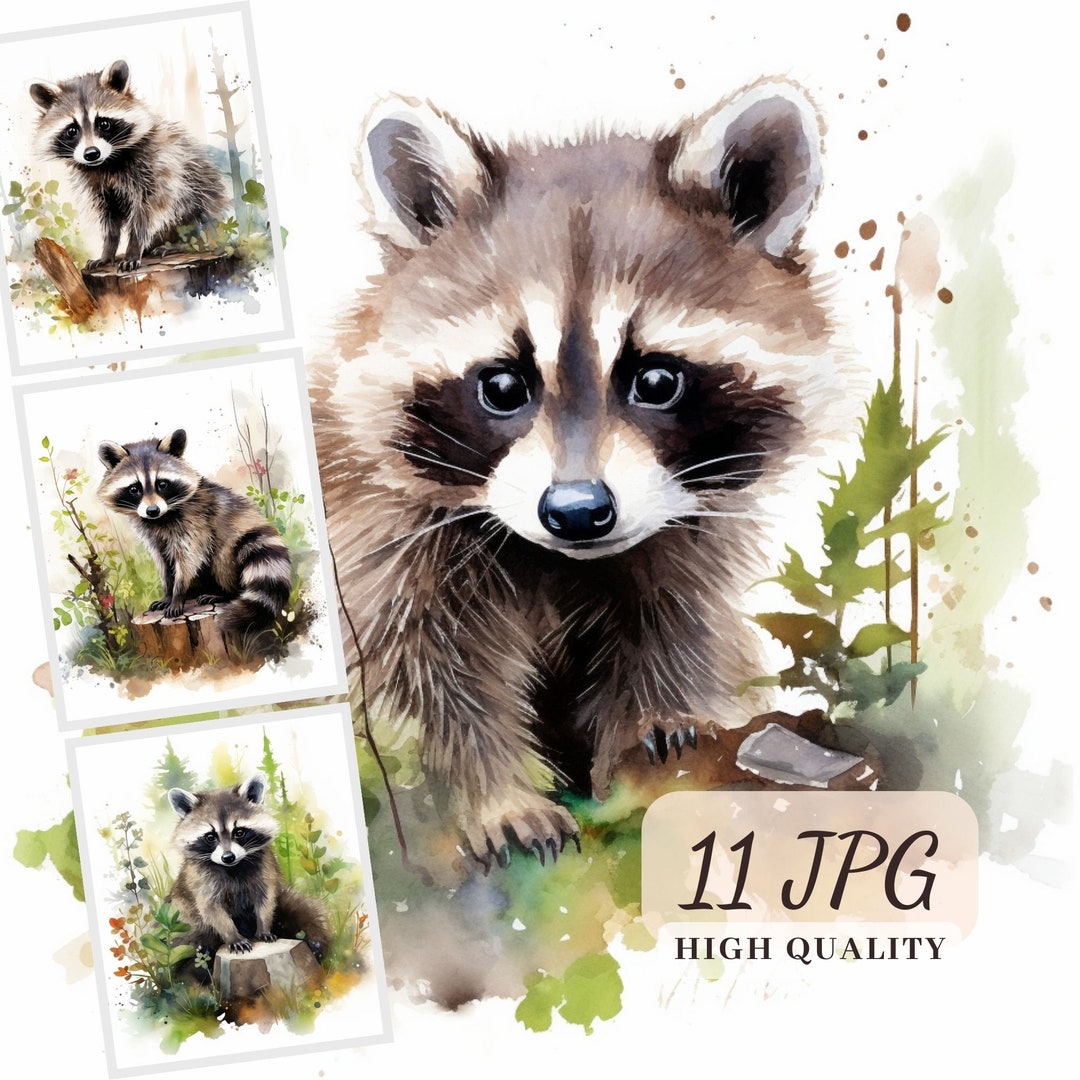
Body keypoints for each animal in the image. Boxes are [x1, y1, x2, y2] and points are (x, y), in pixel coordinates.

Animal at [29, 60, 228, 272]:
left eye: (104, 124)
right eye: (72, 130)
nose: (91, 154)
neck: (106, 163)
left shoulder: (158, 169)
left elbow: (148, 213)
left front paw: (134, 248)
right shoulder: (98, 189)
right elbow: (109, 222)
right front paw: (108, 251)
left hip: (204, 194)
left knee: (199, 220)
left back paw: (183, 243)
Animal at [97, 428, 292, 638]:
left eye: (162, 484)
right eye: (134, 489)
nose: (152, 510)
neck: (160, 518)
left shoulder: (195, 523)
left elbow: (189, 558)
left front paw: (177, 595)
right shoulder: (154, 536)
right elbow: (163, 562)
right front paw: (167, 593)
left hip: (232, 543)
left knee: (221, 563)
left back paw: (224, 593)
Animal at [166, 775, 332, 962]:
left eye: (239, 832)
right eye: (210, 837)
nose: (228, 857)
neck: (234, 867)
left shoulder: (266, 868)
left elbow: (266, 899)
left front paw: (264, 928)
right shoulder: (200, 879)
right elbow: (212, 909)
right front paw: (233, 936)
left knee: (306, 909)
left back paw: (315, 941)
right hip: (182, 916)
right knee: (189, 936)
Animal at [314, 82, 845, 867]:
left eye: (657, 380)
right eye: (502, 386)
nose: (575, 511)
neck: (560, 559)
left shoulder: (684, 533)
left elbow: (675, 632)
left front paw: (651, 720)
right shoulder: (376, 531)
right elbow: (426, 675)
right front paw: (496, 789)